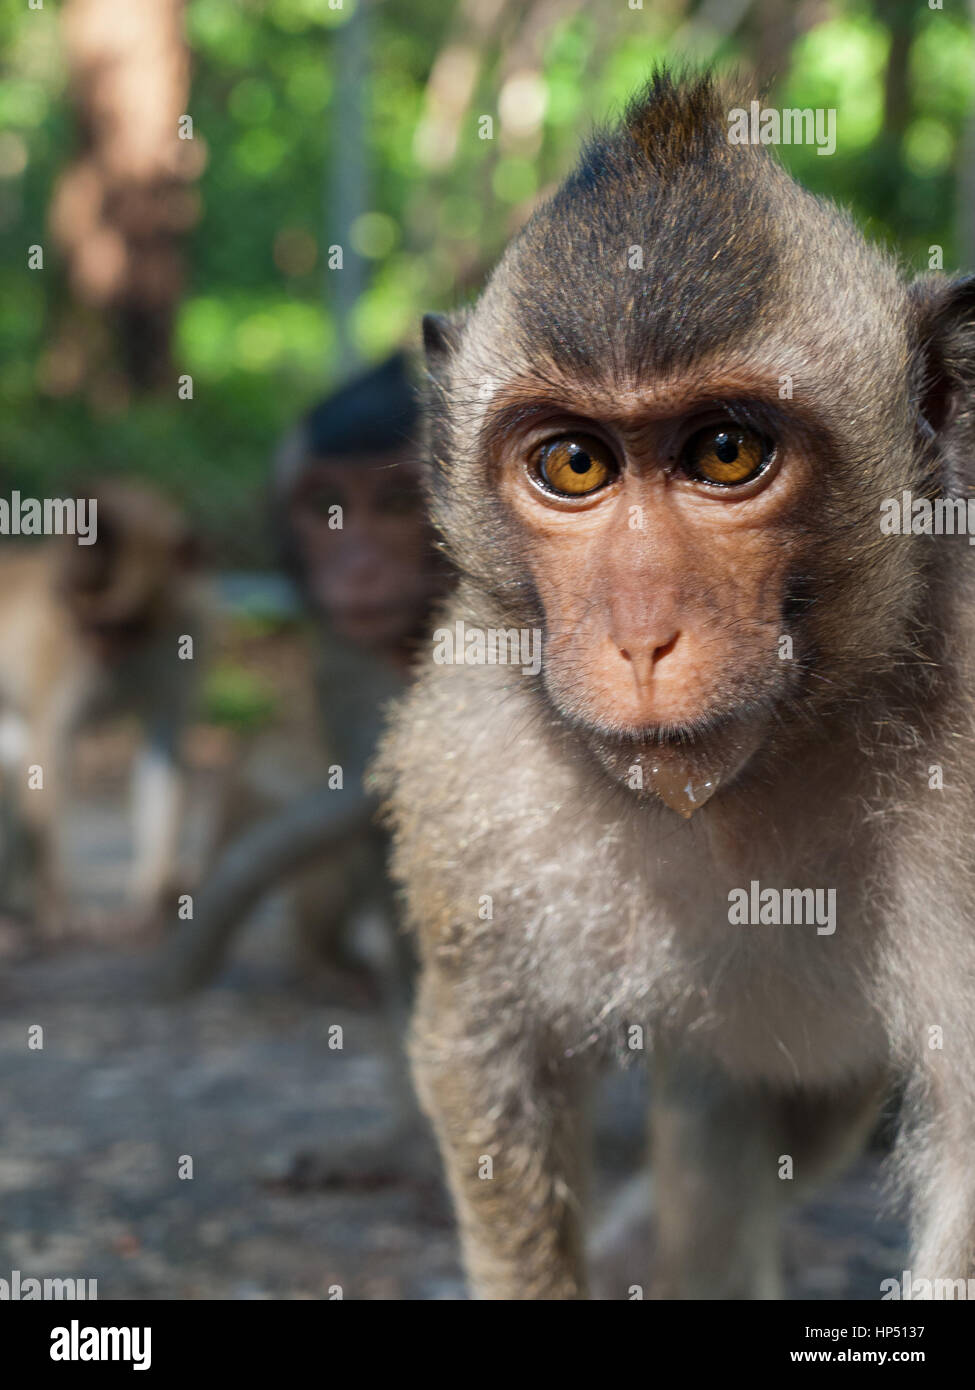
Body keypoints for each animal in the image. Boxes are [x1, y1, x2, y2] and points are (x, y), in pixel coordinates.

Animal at [0, 479, 208, 936]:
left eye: (116, 625)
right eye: (78, 616)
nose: (96, 649)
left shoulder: (188, 635)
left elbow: (163, 747)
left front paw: (153, 892)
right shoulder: (59, 655)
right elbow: (47, 751)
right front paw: (58, 908)